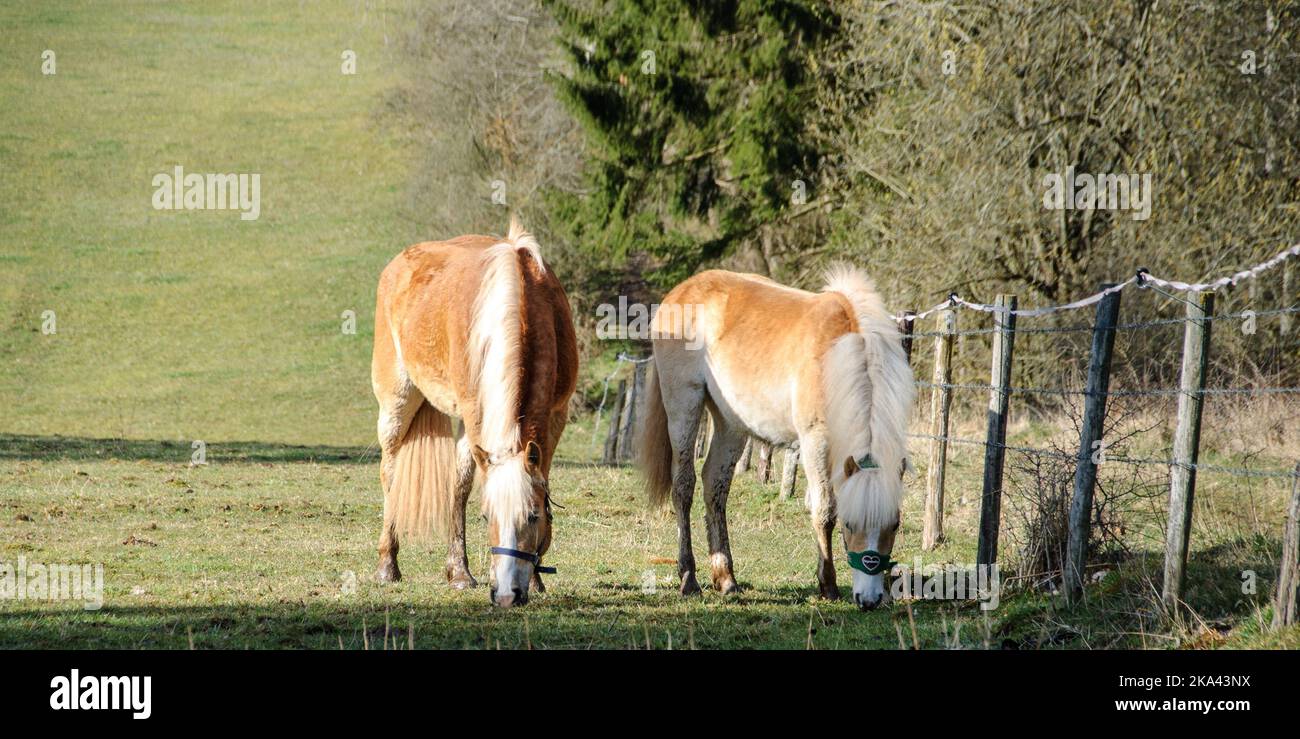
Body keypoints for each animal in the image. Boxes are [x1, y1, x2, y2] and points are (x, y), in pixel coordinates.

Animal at [370, 217, 578, 607]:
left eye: (533, 515)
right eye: (486, 516)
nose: (508, 595)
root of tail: (399, 264)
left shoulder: (556, 415)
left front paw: (537, 580)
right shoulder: (474, 413)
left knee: (456, 483)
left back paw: (458, 570)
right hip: (396, 404)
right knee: (391, 474)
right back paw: (389, 565)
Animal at [639, 267, 914, 609]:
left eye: (894, 525)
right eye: (851, 524)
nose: (870, 599)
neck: (838, 359)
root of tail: (681, 292)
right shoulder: (815, 442)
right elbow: (825, 511)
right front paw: (828, 585)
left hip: (731, 423)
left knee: (715, 485)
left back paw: (726, 578)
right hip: (683, 405)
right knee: (684, 485)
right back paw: (689, 579)